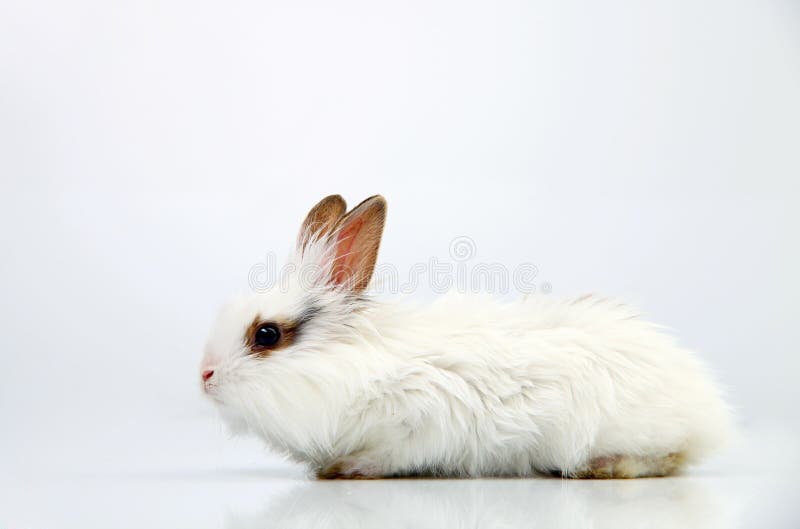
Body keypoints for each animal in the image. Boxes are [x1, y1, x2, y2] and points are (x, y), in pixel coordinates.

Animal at [200, 194, 732, 479]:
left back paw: (603, 467)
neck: (353, 372)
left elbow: (388, 455)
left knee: (670, 456)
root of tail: (708, 407)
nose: (205, 376)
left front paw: (344, 471)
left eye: (266, 335)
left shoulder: (417, 424)